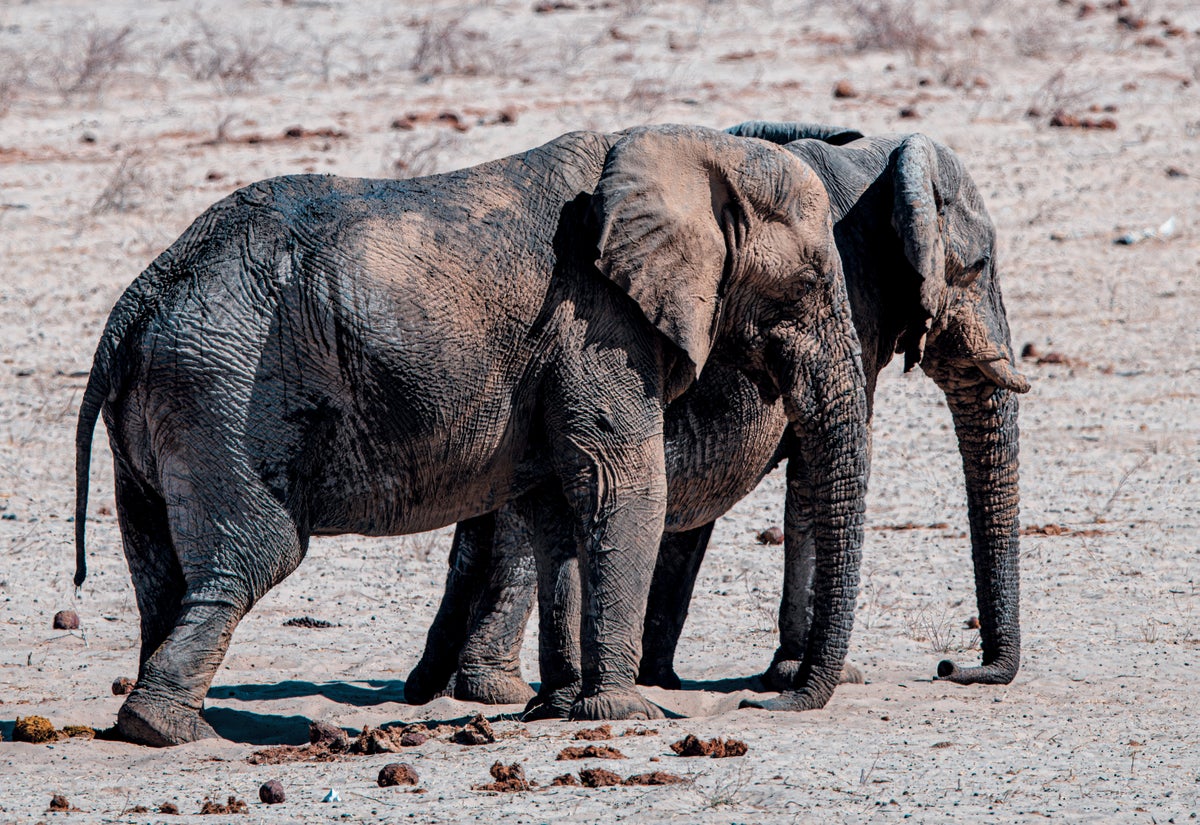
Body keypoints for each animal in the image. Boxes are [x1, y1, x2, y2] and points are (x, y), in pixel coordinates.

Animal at [73, 124, 870, 745]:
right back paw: (171, 730)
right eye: (808, 280)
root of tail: (133, 309)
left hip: (164, 404)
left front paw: (558, 709)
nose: (768, 702)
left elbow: (560, 511)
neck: (692, 150)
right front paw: (625, 714)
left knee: (160, 568)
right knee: (257, 552)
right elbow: (622, 486)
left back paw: (160, 720)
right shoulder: (598, 324)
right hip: (219, 387)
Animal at [405, 121, 1029, 711]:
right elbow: (815, 471)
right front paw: (801, 677)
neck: (874, 160)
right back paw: (497, 692)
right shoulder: (847, 304)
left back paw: (436, 688)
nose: (952, 668)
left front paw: (664, 678)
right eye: (979, 266)